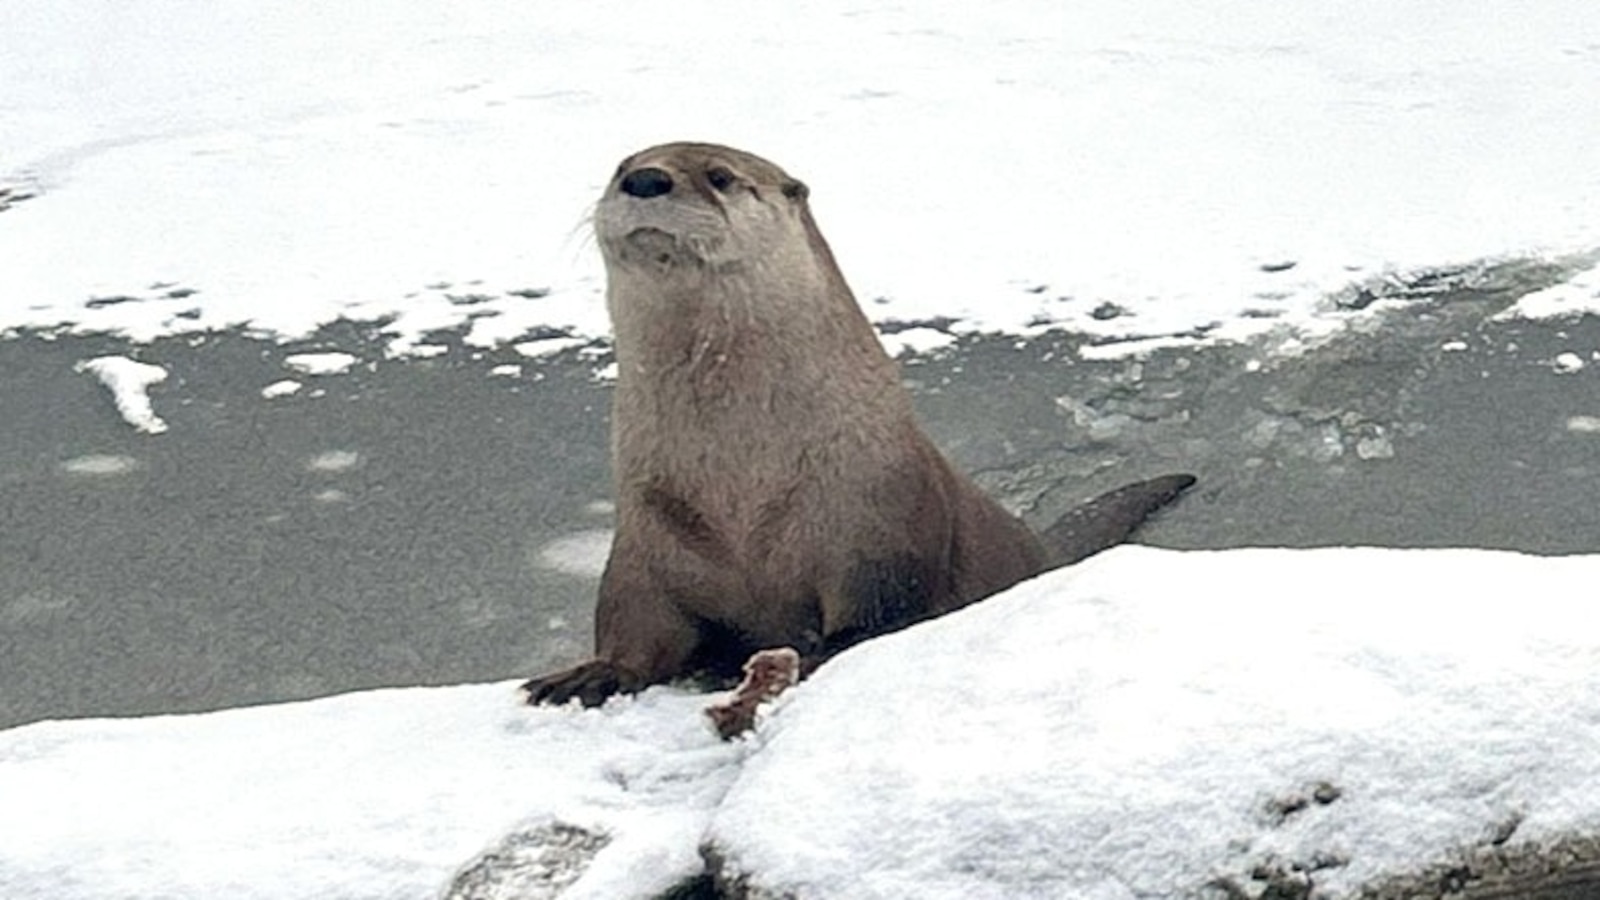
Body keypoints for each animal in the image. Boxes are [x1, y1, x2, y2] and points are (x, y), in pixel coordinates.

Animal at [523, 142, 1193, 707]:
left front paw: (814, 657)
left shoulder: (877, 525)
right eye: (621, 165)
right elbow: (636, 623)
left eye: (719, 176)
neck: (742, 484)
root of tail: (1043, 552)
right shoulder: (648, 528)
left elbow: (877, 620)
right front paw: (588, 674)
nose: (645, 179)